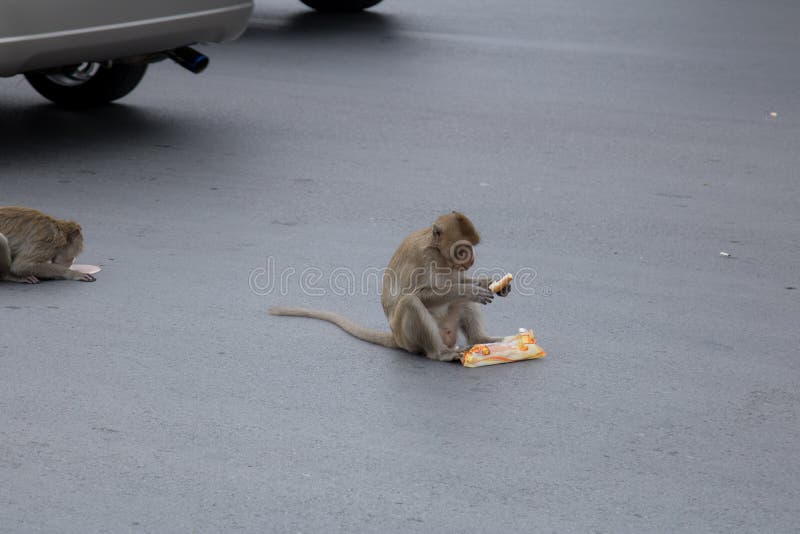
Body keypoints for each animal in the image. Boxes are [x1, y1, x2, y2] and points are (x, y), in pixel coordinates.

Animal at [269, 211, 511, 362]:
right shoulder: (421, 256)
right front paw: (469, 290)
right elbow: (417, 294)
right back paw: (440, 353)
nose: (472, 259)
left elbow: (459, 282)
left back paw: (481, 340)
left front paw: (488, 283)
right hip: (408, 337)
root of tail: (396, 338)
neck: (438, 253)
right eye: (463, 249)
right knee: (410, 302)